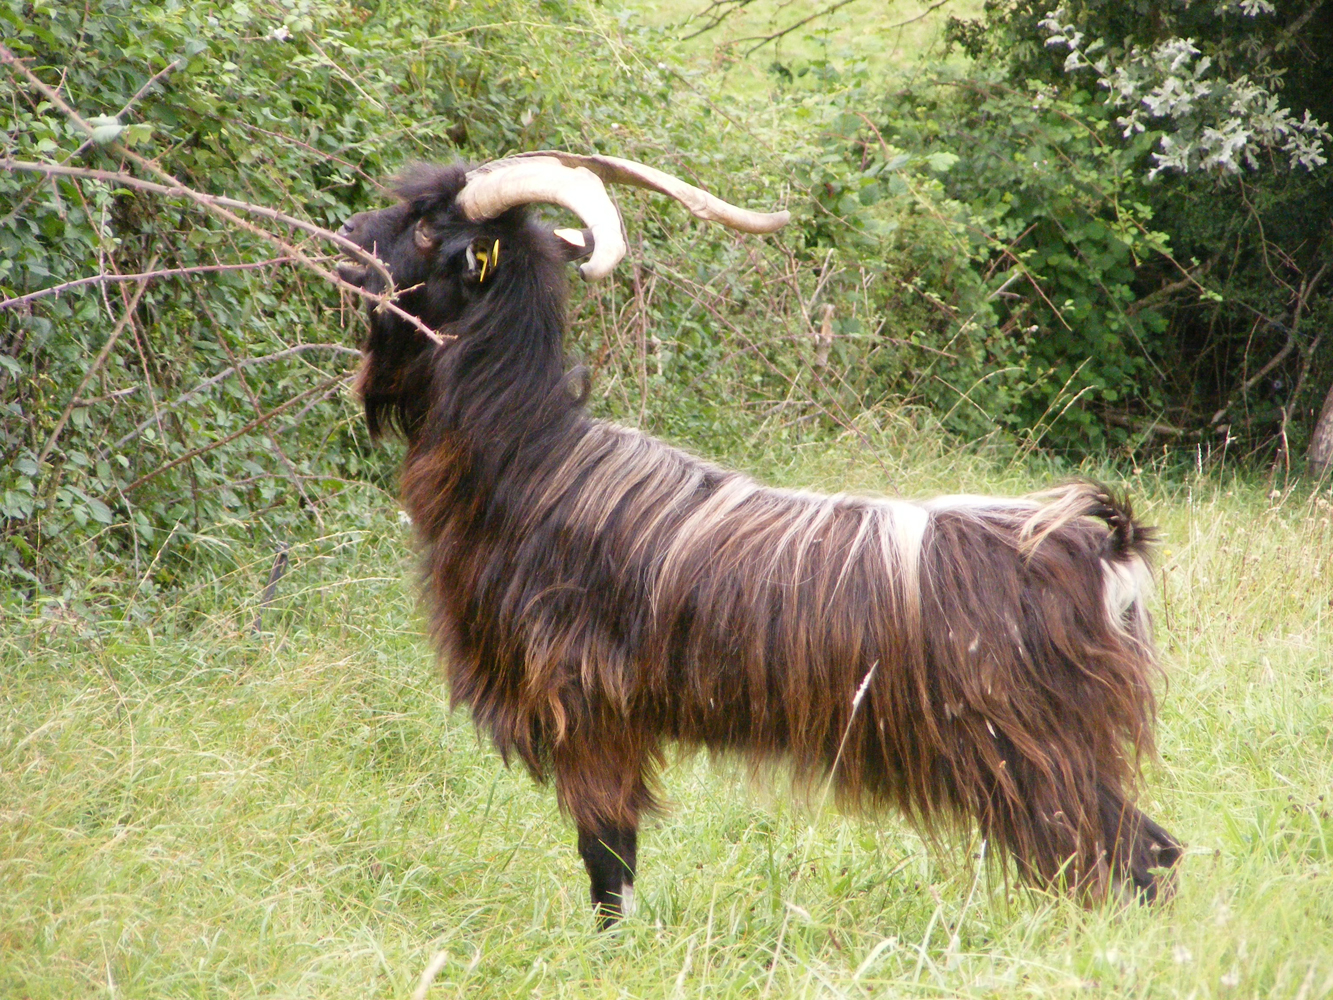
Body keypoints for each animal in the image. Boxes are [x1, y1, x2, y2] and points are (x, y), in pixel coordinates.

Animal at [335, 152, 1182, 928]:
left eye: (427, 229)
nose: (343, 243)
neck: (533, 462)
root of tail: (1103, 551)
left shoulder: (590, 710)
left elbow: (606, 854)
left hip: (1037, 754)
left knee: (1132, 857)